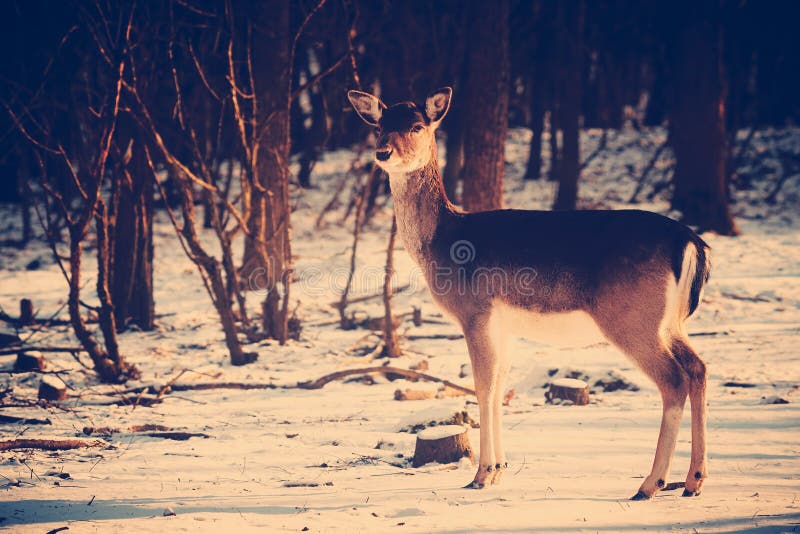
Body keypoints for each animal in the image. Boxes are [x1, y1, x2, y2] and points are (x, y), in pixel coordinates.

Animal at [347, 87, 710, 500]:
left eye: (417, 126)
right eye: (379, 126)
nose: (383, 153)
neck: (442, 242)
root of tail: (692, 242)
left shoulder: (475, 312)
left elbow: (482, 386)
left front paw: (480, 475)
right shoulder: (503, 326)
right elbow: (498, 387)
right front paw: (498, 470)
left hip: (632, 318)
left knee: (673, 379)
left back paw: (650, 484)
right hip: (670, 323)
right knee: (698, 368)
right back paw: (694, 480)